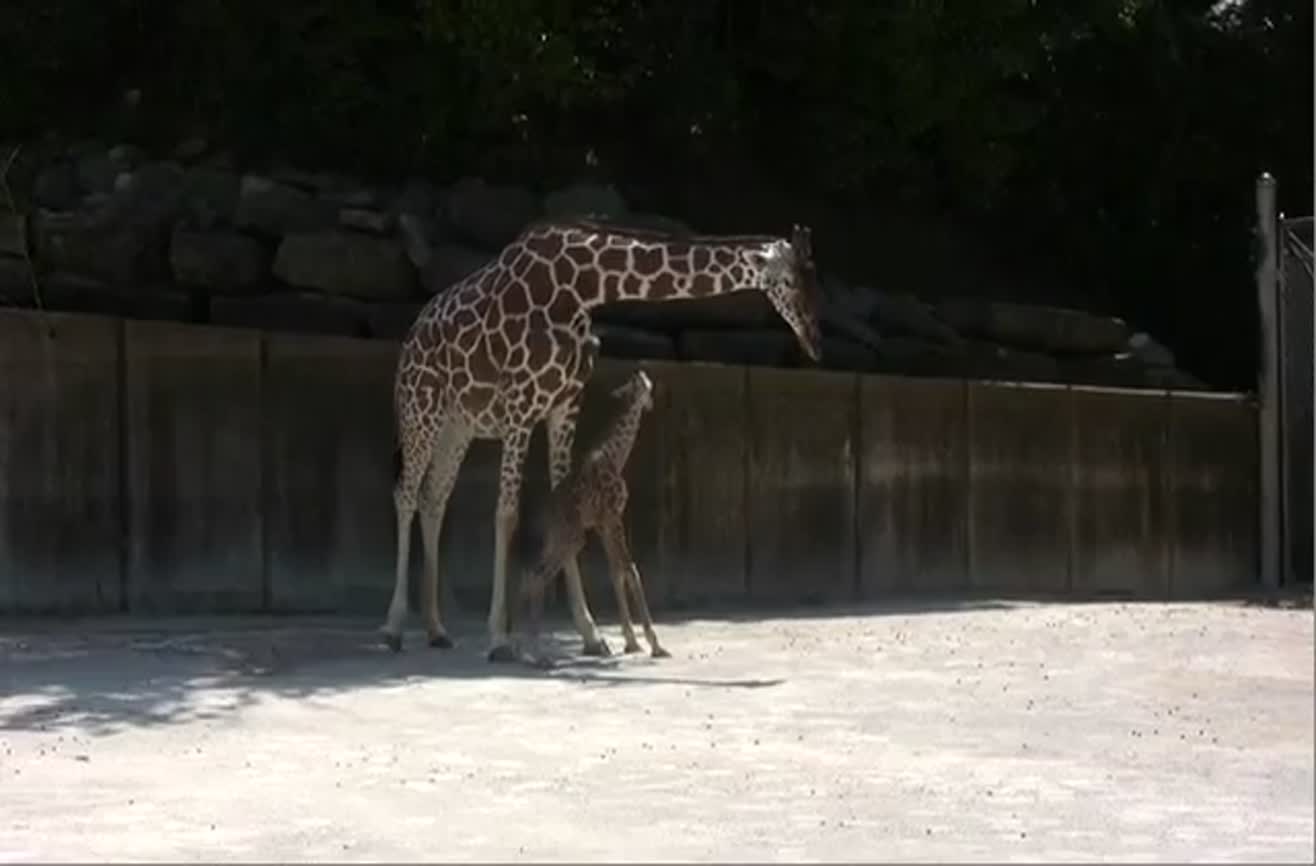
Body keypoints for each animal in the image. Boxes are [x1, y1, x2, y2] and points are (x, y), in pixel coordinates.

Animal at [516, 368, 668, 663]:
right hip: (573, 537)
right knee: (538, 577)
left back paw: (524, 649)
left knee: (528, 574)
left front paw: (631, 642)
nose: (652, 403)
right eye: (646, 386)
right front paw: (655, 644)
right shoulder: (613, 516)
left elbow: (616, 572)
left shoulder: (602, 523)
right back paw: (538, 655)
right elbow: (631, 570)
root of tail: (544, 513)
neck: (616, 455)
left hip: (556, 539)